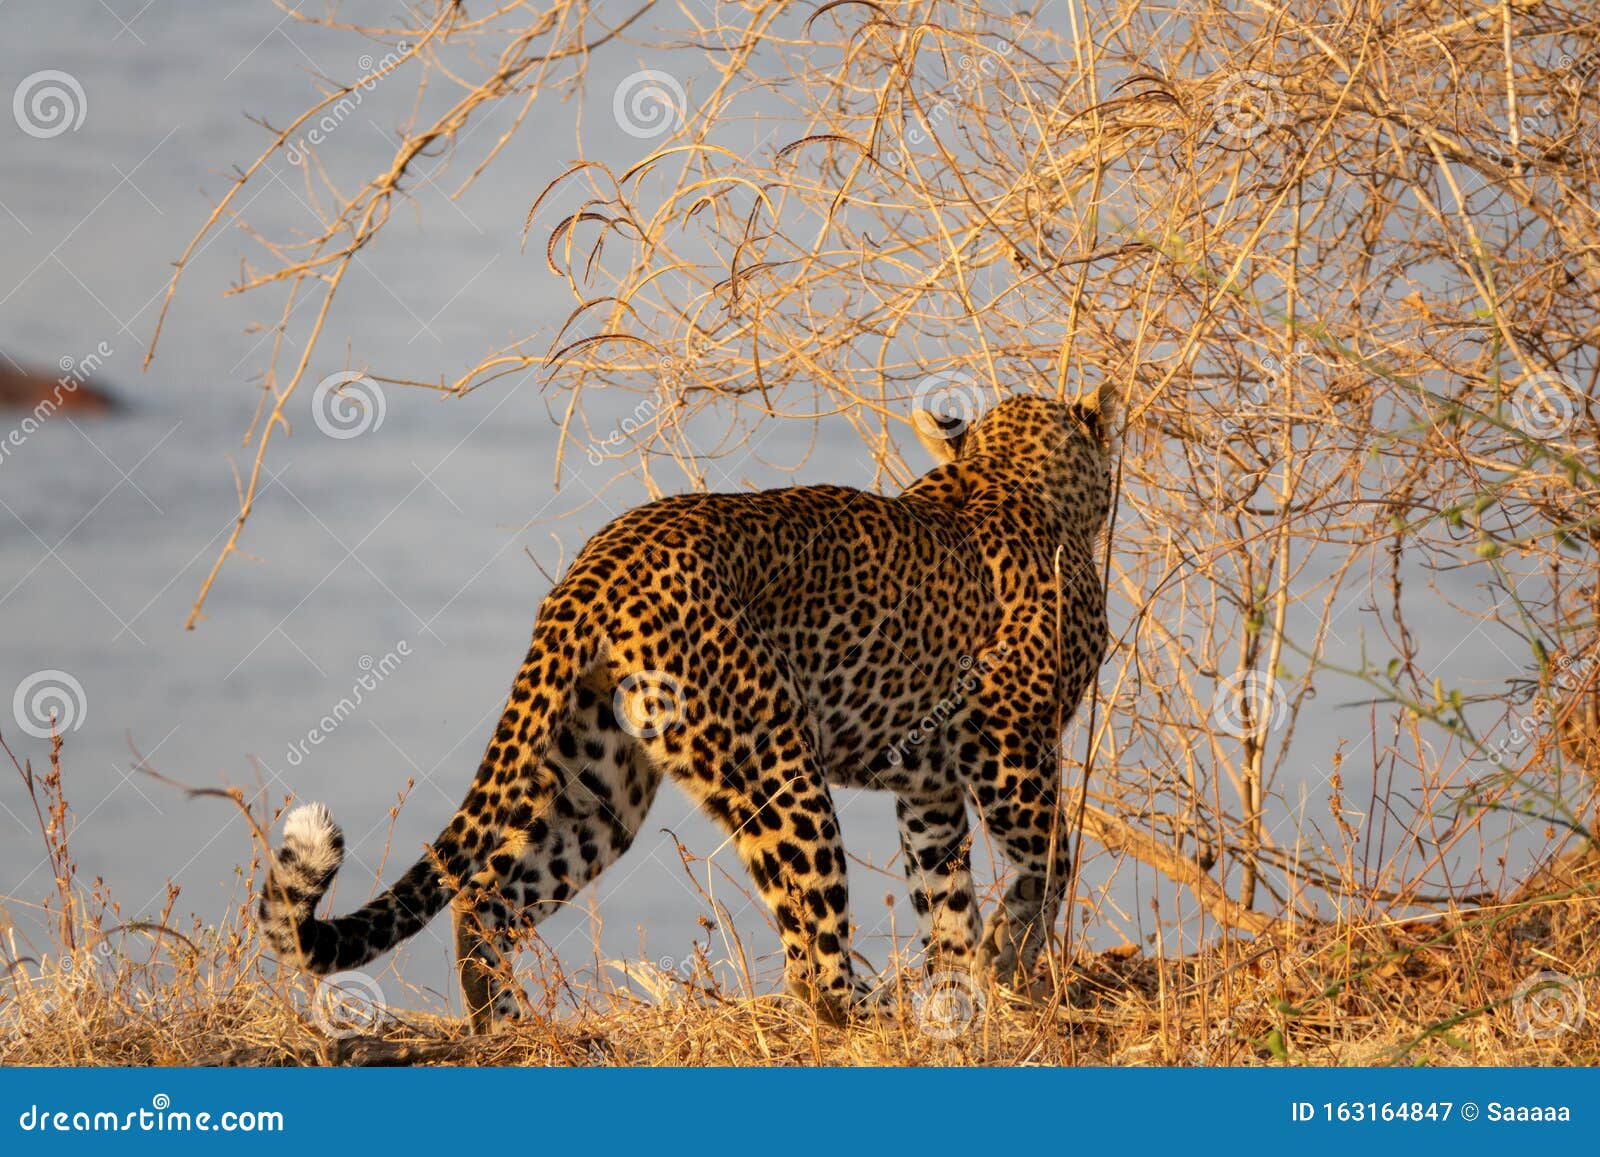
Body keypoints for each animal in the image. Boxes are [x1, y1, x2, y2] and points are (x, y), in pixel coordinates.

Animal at [258, 391, 1115, 1032]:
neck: (1012, 472)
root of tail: (597, 566)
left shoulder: (929, 784)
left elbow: (945, 894)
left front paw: (962, 995)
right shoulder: (1014, 748)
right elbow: (1049, 862)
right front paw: (1008, 960)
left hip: (597, 786)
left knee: (485, 896)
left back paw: (504, 1026)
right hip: (776, 766)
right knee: (811, 950)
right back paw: (870, 1017)